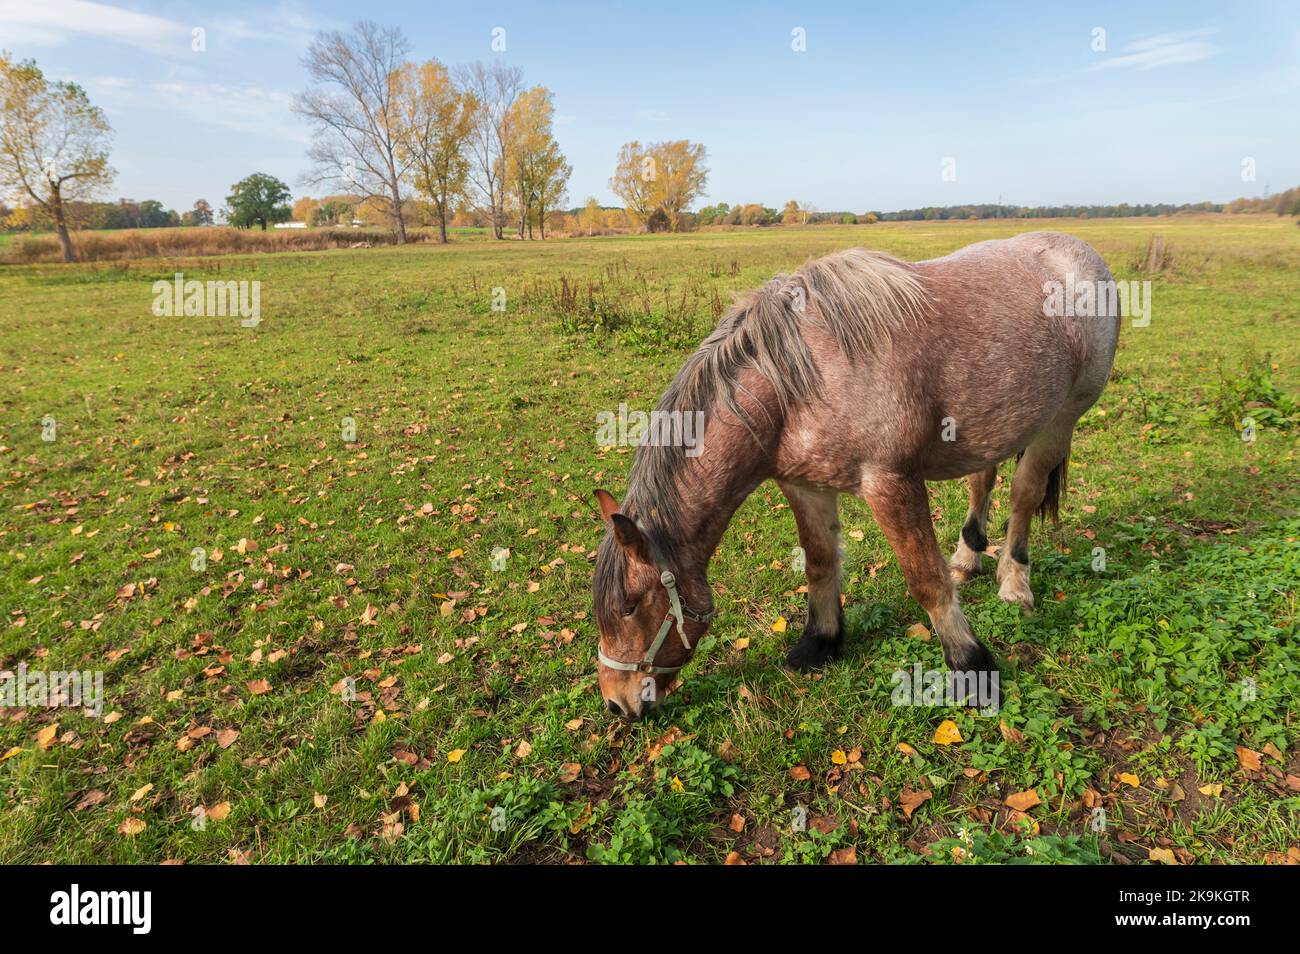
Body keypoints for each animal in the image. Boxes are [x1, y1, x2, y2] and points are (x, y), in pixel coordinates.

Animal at [593, 232, 1121, 721]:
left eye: (630, 606)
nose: (617, 703)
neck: (798, 385)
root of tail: (1078, 252)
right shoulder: (806, 487)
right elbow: (820, 563)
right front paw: (820, 642)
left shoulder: (890, 483)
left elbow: (924, 579)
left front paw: (970, 665)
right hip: (999, 423)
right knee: (982, 481)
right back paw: (968, 557)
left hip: (1061, 419)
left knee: (1024, 496)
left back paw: (1014, 583)